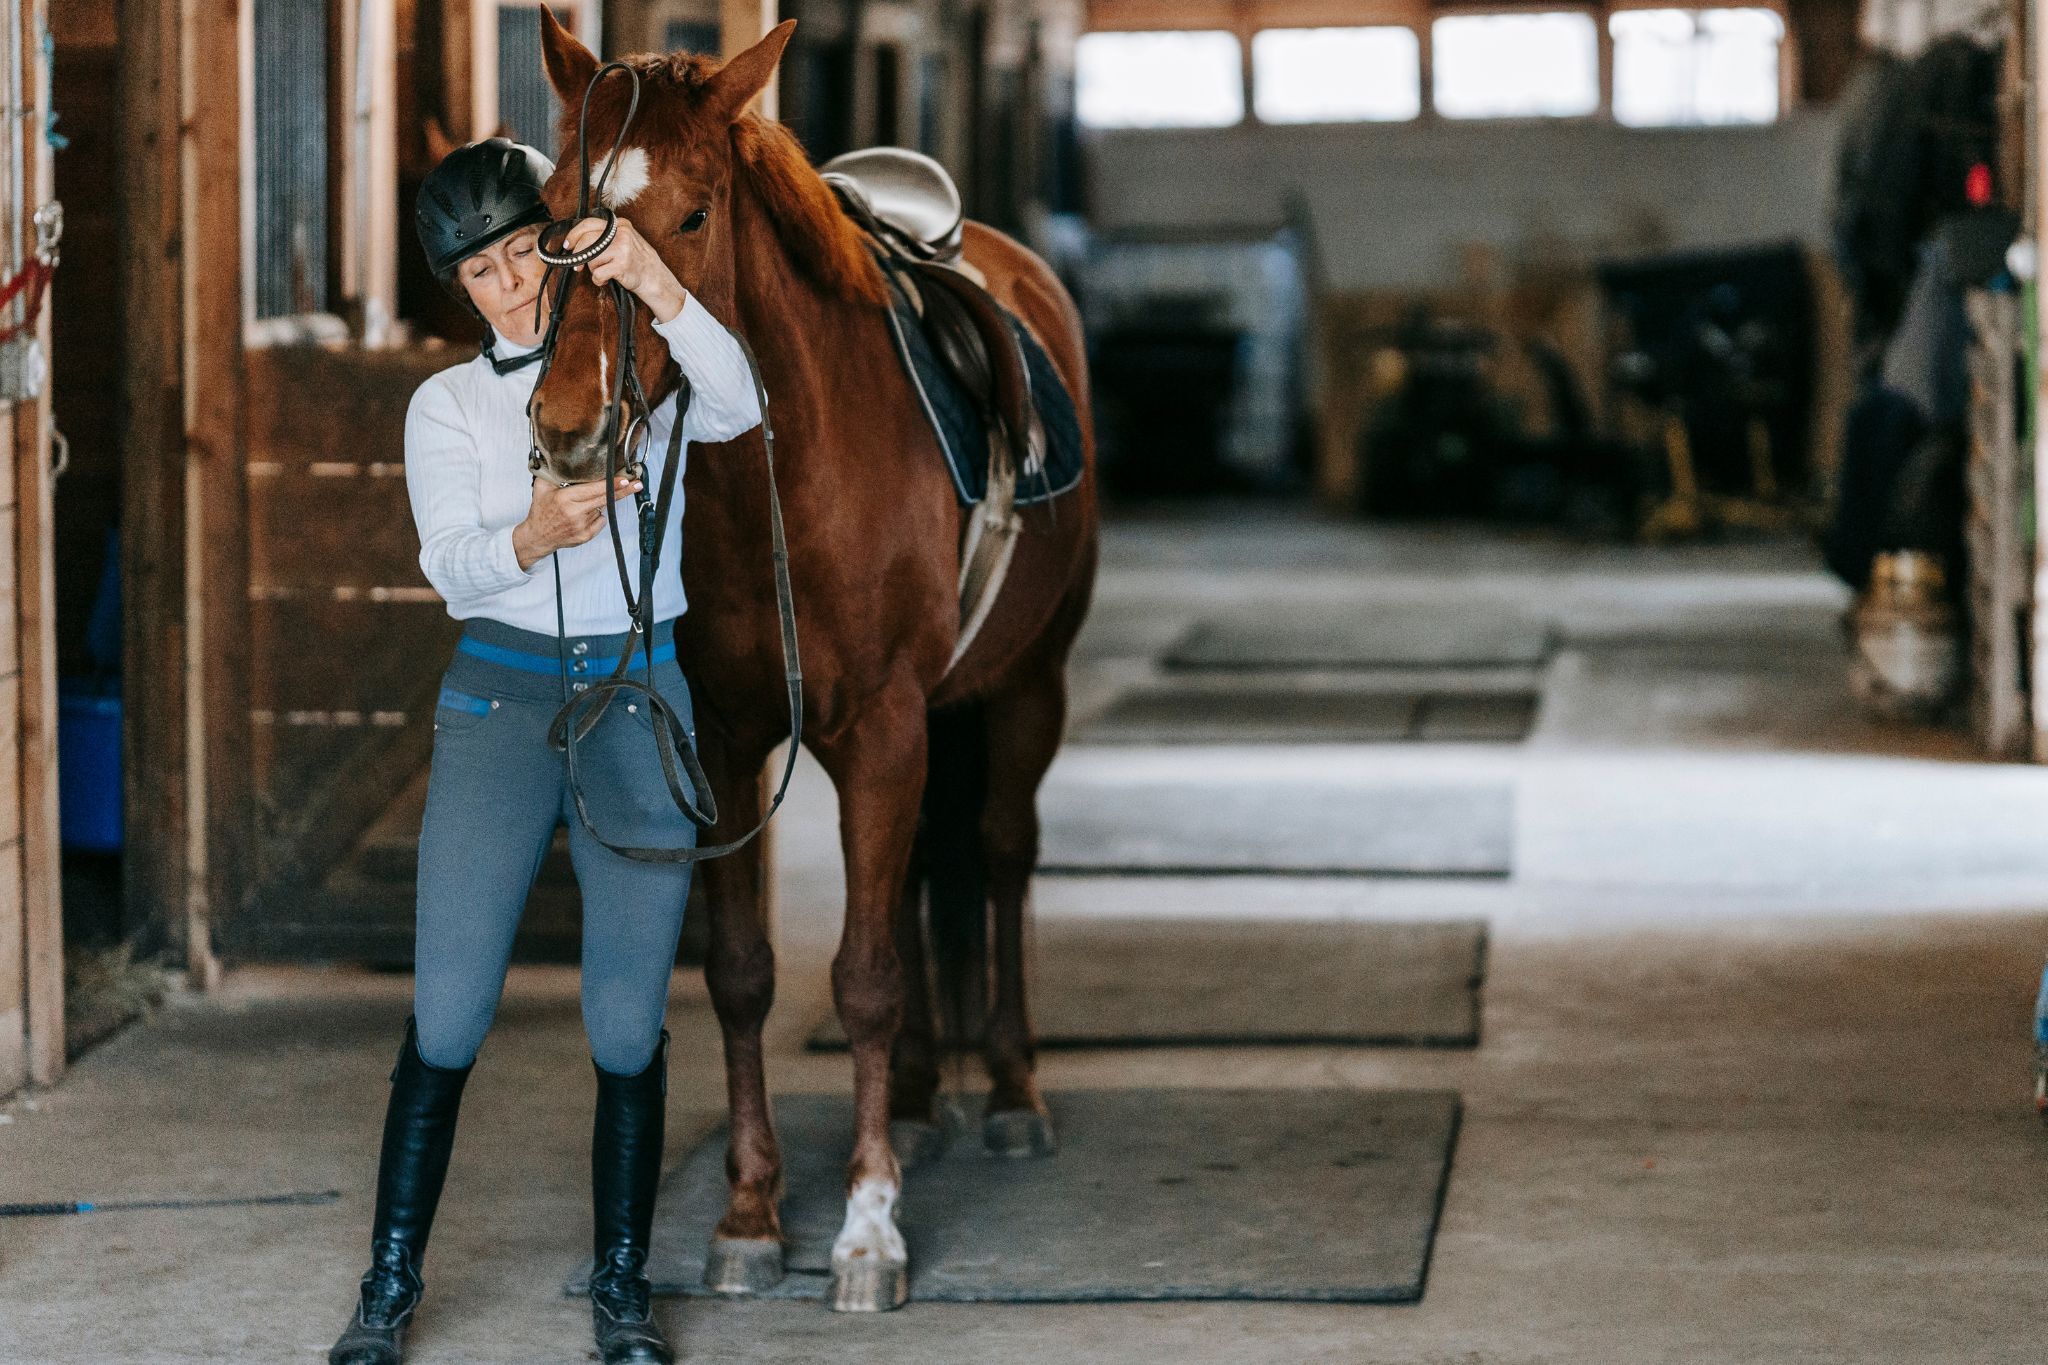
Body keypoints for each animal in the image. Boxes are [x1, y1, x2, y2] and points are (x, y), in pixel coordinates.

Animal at [526, 11, 1099, 1312]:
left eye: (691, 215)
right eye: (547, 212)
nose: (570, 431)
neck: (781, 477)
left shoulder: (882, 730)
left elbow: (865, 975)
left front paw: (866, 1233)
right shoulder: (726, 744)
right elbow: (744, 973)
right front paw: (748, 1217)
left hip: (1024, 690)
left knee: (999, 857)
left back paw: (1010, 1093)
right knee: (934, 864)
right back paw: (929, 1101)